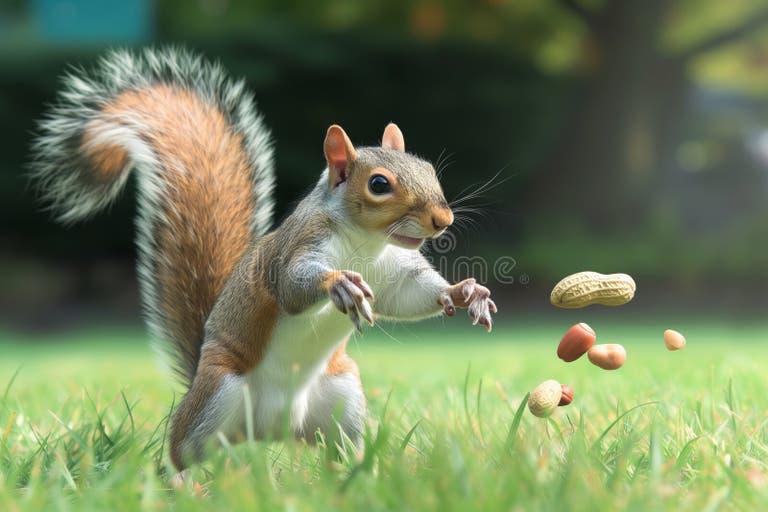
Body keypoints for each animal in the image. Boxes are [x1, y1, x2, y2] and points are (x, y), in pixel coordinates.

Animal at [30, 48, 497, 471]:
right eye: (379, 184)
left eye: (428, 168)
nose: (442, 219)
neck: (368, 244)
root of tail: (272, 429)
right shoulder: (299, 246)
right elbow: (291, 286)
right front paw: (338, 283)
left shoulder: (394, 273)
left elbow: (409, 294)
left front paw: (466, 291)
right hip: (219, 391)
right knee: (183, 452)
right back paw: (187, 486)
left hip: (343, 397)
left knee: (341, 449)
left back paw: (359, 475)